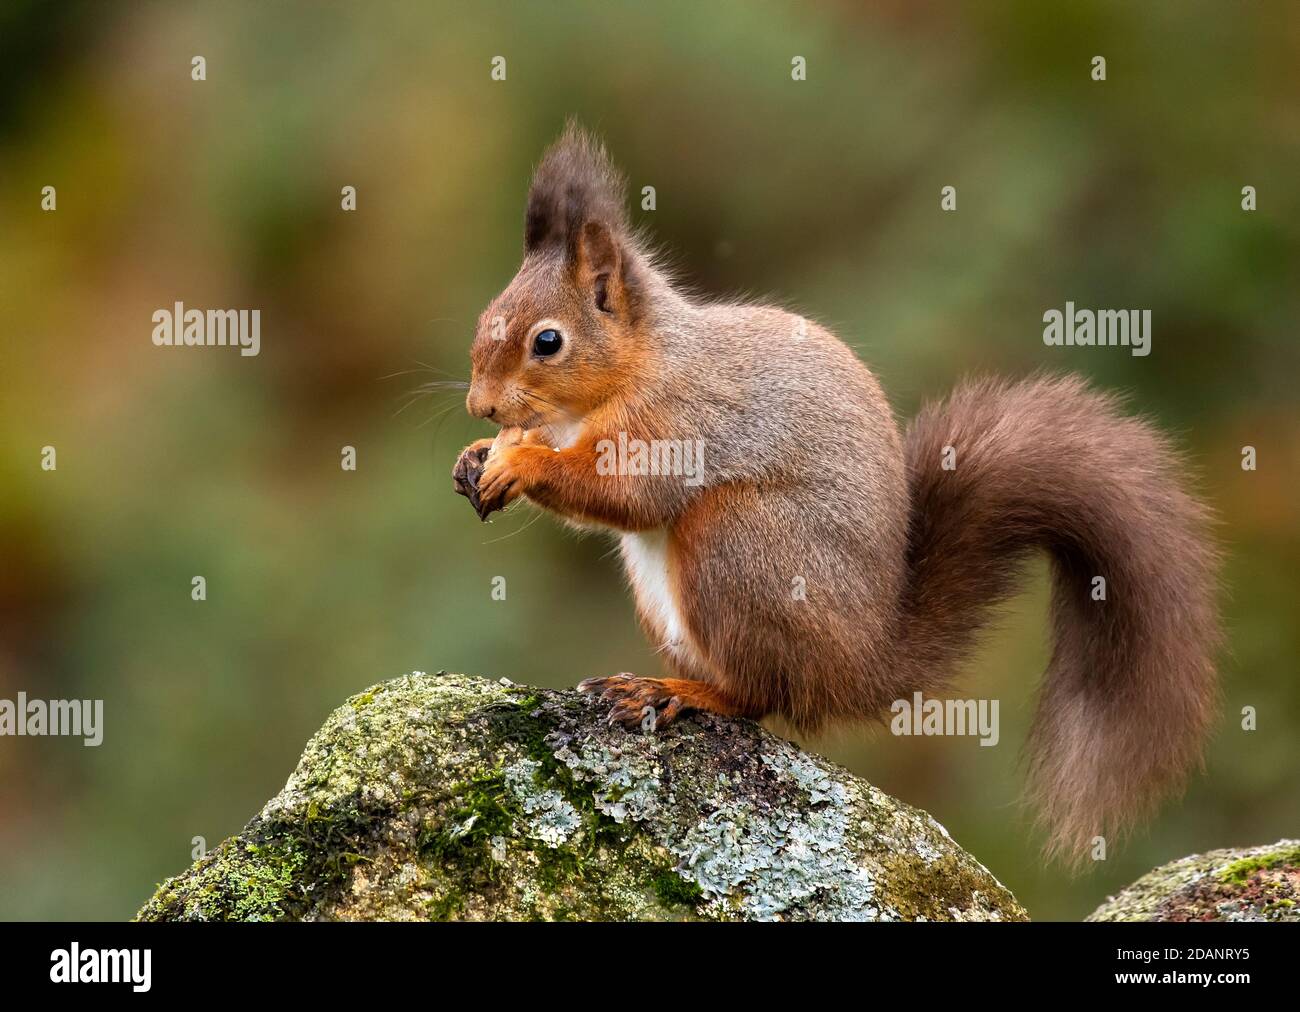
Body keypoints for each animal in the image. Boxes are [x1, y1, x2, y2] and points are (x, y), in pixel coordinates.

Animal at [451, 123, 1220, 860]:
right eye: (485, 317)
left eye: (548, 341)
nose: (478, 406)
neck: (640, 364)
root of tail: (860, 662)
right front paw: (479, 458)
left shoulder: (679, 422)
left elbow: (626, 492)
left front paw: (523, 465)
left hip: (740, 543)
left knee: (757, 696)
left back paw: (678, 693)